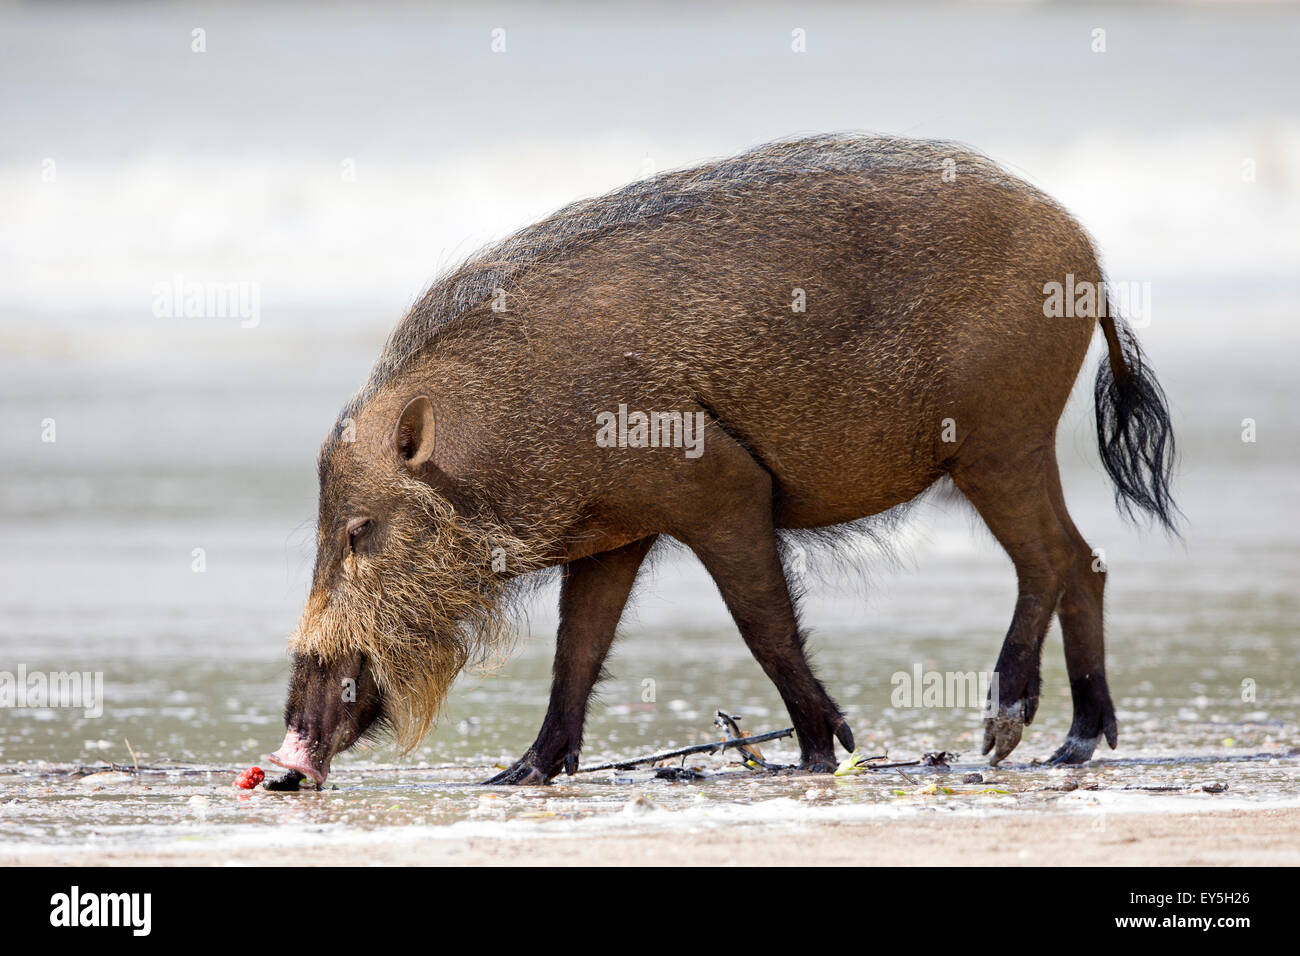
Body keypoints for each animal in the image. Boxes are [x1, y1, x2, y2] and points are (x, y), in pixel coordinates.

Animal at [269, 133, 1177, 786]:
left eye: (357, 530)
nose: (284, 765)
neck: (506, 432)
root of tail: (1090, 259)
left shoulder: (722, 490)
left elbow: (763, 625)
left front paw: (824, 752)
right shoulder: (616, 533)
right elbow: (578, 650)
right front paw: (519, 774)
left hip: (998, 445)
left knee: (1050, 559)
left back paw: (1004, 734)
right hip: (1010, 451)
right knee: (1088, 560)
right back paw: (1074, 744)